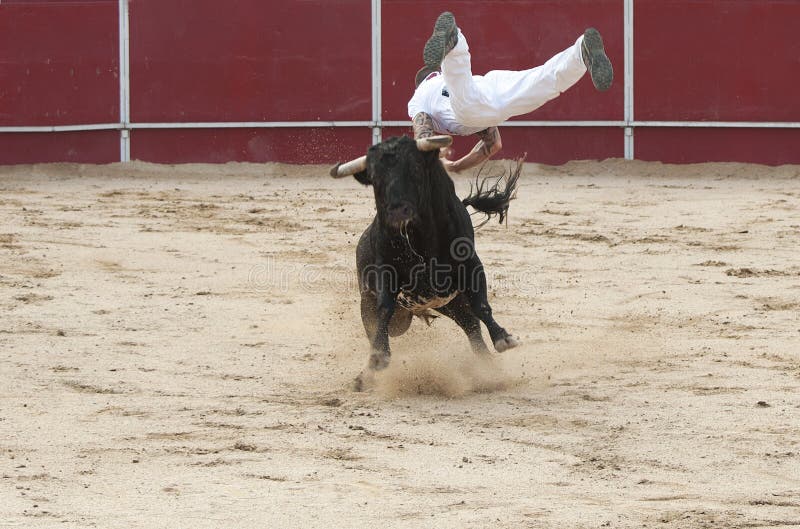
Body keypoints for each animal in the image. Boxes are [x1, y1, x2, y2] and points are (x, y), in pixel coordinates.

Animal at [330, 135, 521, 391]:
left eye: (415, 169)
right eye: (375, 178)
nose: (397, 212)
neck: (420, 239)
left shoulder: (471, 264)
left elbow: (481, 305)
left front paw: (503, 338)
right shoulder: (384, 270)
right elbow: (384, 309)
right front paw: (379, 358)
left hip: (453, 302)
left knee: (471, 326)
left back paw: (488, 369)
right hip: (371, 305)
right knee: (377, 327)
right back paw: (365, 376)